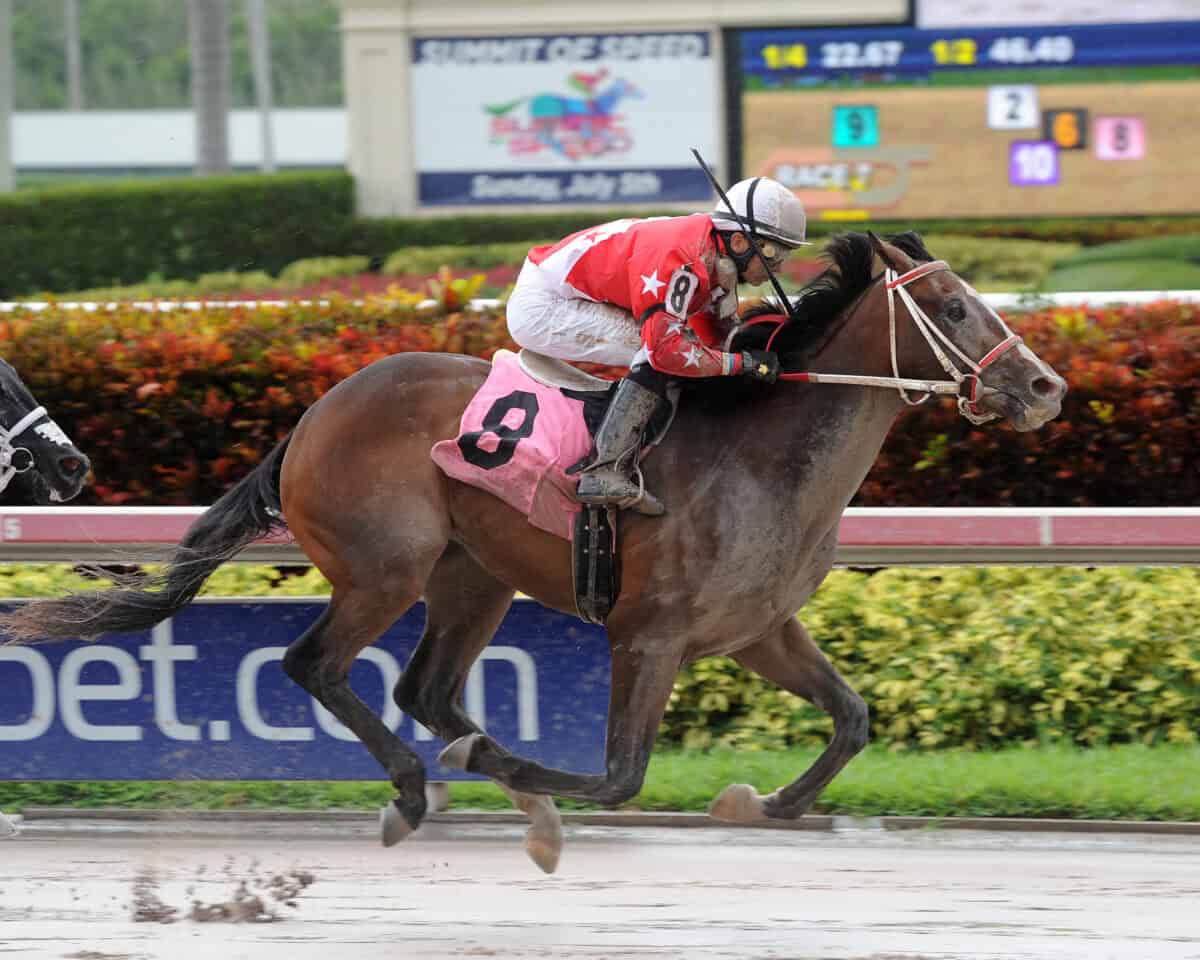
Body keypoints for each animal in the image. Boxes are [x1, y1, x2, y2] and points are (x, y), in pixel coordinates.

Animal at [0, 232, 1065, 871]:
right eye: (955, 306)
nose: (1045, 387)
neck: (764, 457)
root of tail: (313, 415)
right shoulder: (649, 636)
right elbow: (621, 775)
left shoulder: (760, 628)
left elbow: (851, 719)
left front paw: (760, 803)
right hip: (385, 566)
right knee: (316, 664)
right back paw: (418, 787)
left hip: (473, 575)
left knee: (423, 687)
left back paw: (468, 770)